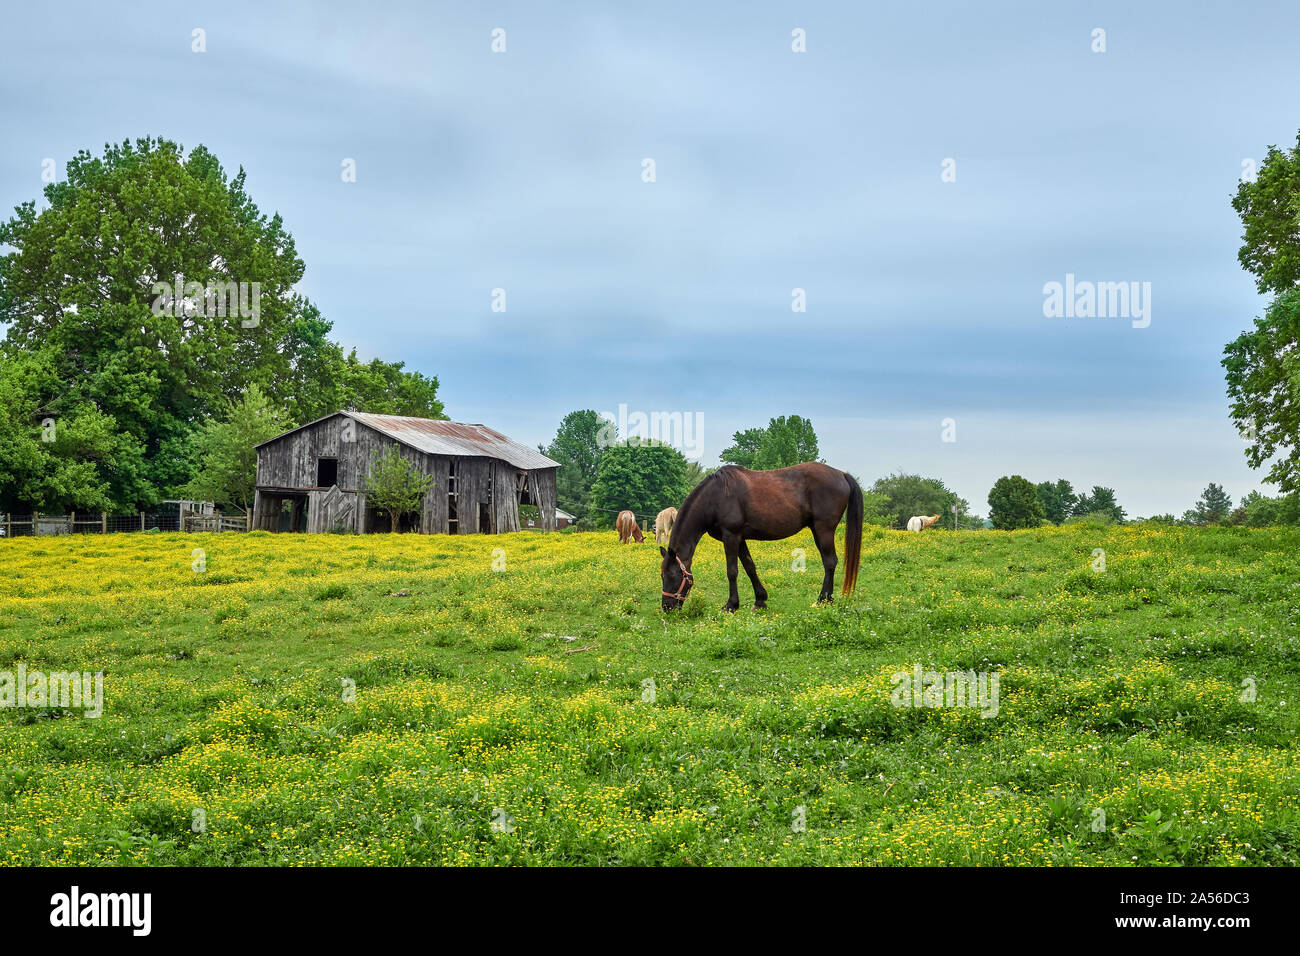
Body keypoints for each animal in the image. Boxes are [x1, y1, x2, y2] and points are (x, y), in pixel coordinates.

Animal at [660, 462, 862, 612]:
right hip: (817, 530)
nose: (667, 607)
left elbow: (732, 571)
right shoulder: (739, 538)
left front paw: (731, 605)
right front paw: (760, 600)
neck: (715, 497)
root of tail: (842, 474)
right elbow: (750, 567)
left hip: (823, 530)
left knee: (830, 562)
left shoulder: (730, 536)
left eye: (672, 575)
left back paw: (823, 600)